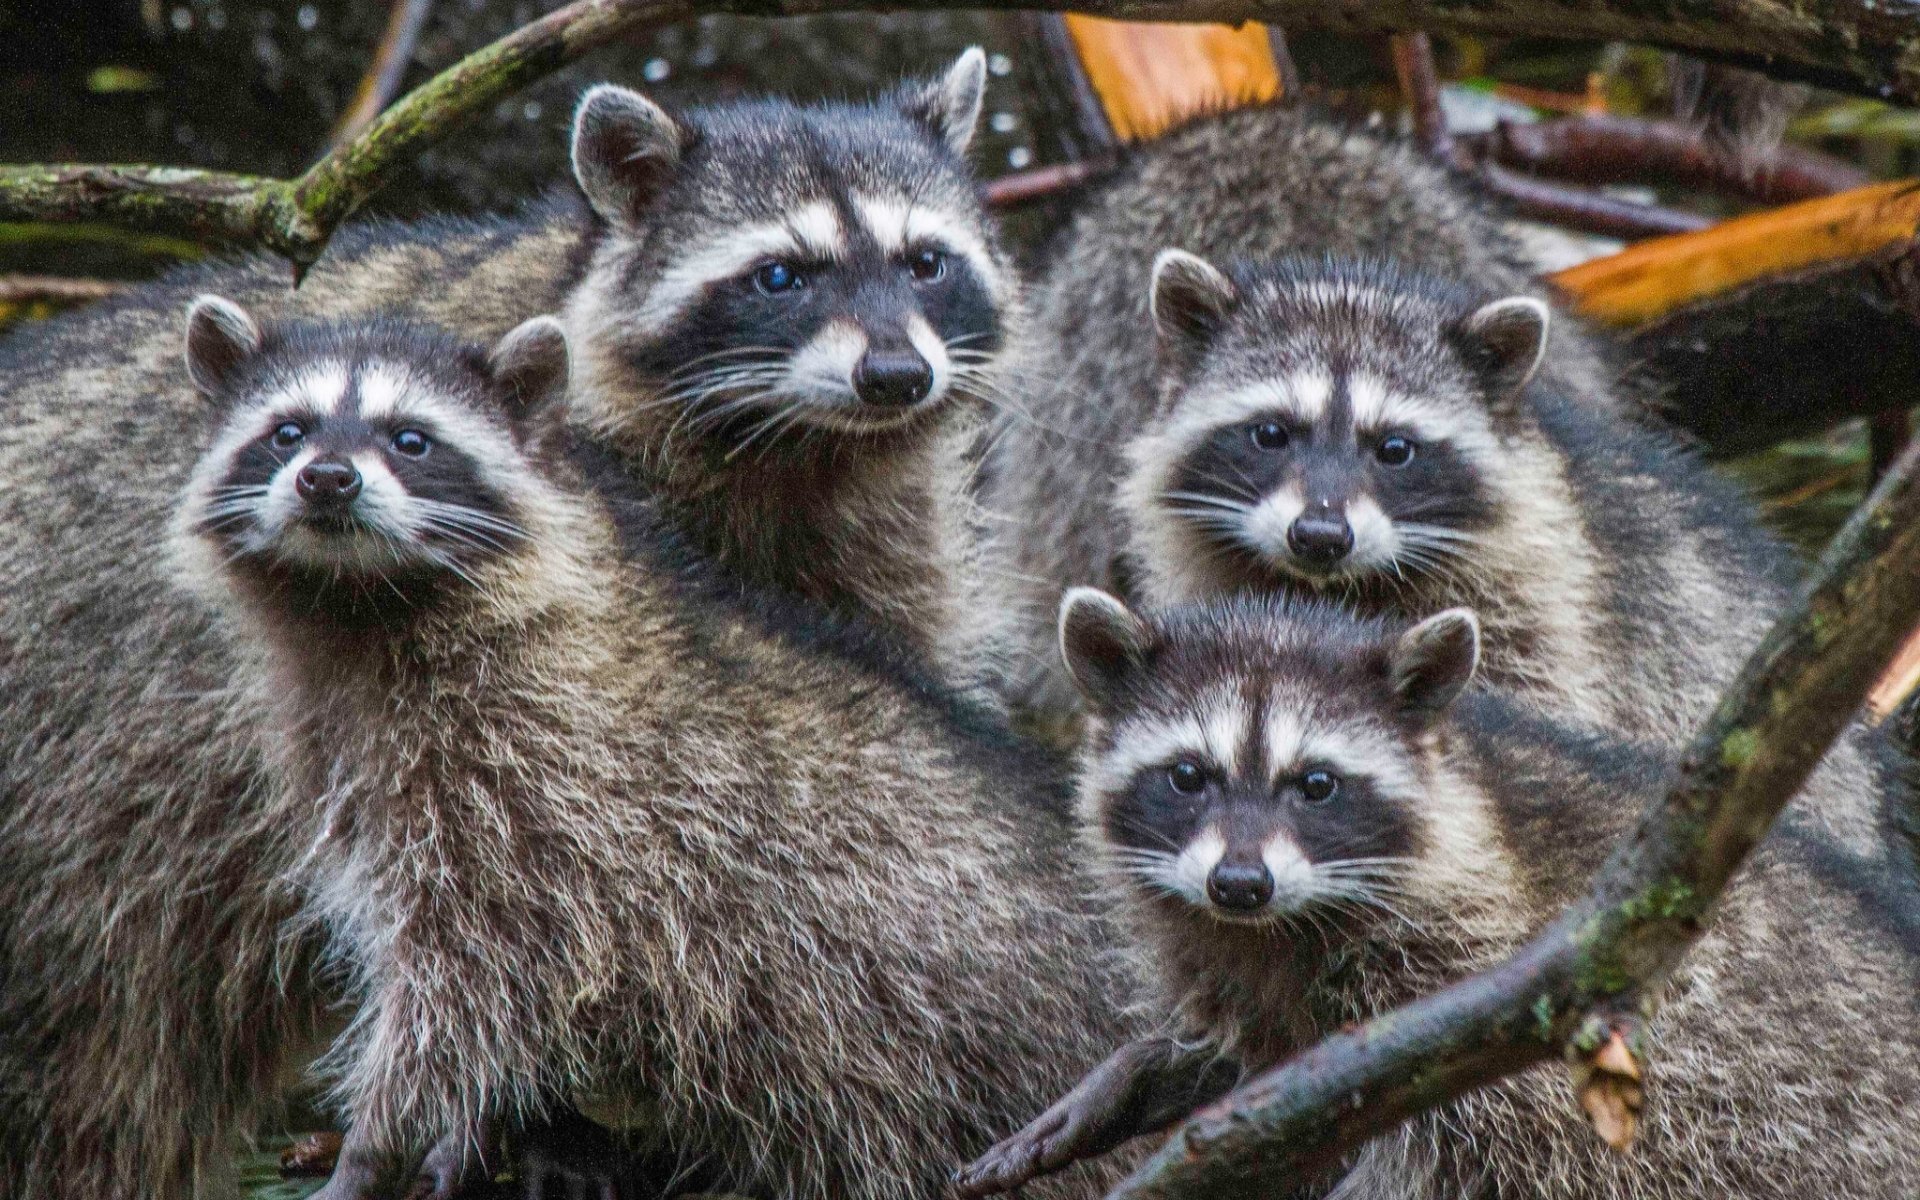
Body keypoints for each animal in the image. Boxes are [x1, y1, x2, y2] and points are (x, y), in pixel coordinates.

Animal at [169, 297, 1129, 1200]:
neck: (358, 605)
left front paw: (383, 1144)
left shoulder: (537, 782)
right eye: (287, 430)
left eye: (411, 439)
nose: (327, 478)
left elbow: (475, 988)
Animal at [956, 590, 1920, 1199]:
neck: (1281, 926)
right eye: (1188, 776)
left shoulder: (1486, 995)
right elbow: (1257, 1066)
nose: (1239, 883)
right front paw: (1135, 1073)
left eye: (1317, 785)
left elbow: (1457, 1152)